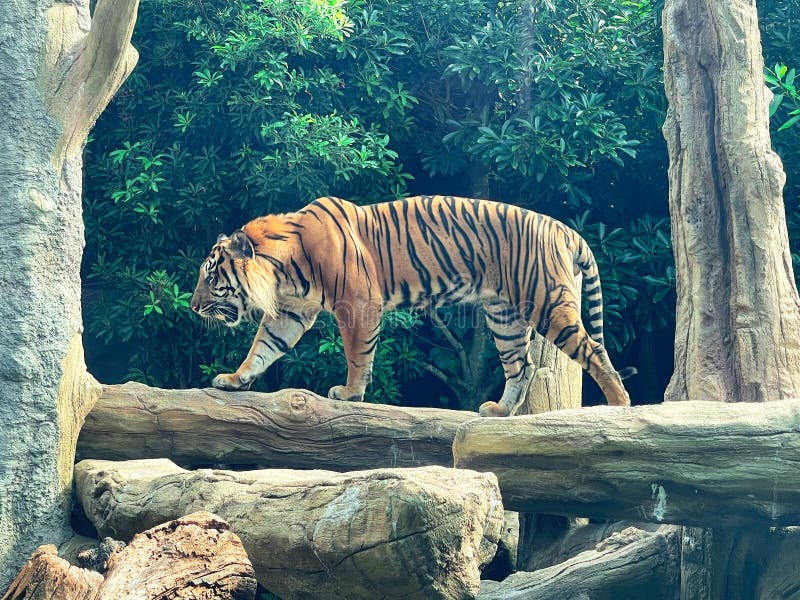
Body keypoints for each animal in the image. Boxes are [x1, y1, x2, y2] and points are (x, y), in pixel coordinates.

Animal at [190, 195, 631, 416]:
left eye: (211, 278)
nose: (193, 307)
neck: (284, 267)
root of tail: (564, 228)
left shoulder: (357, 303)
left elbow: (357, 356)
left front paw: (349, 393)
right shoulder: (290, 313)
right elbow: (262, 350)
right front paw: (234, 379)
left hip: (547, 301)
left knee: (594, 350)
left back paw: (619, 407)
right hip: (504, 316)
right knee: (519, 366)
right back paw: (499, 411)